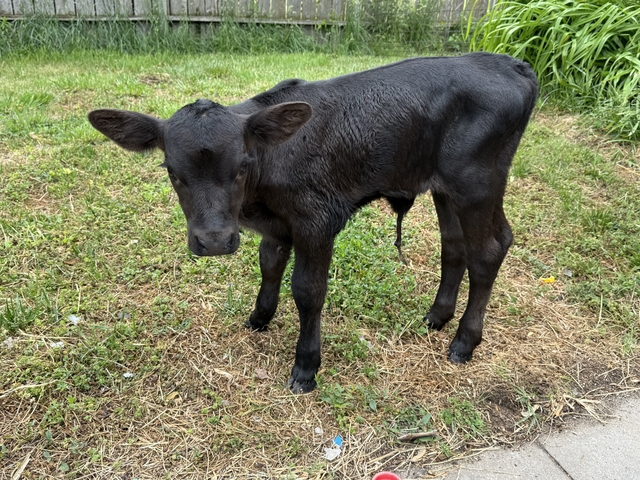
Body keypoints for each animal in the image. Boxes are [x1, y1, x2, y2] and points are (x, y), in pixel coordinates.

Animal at [88, 52, 538, 393]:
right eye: (172, 171)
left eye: (241, 166)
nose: (214, 240)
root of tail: (509, 63)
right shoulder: (275, 227)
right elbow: (269, 265)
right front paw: (259, 318)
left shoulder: (316, 222)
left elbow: (307, 291)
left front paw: (306, 366)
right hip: (445, 188)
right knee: (454, 246)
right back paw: (436, 317)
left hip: (477, 183)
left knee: (490, 249)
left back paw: (464, 341)